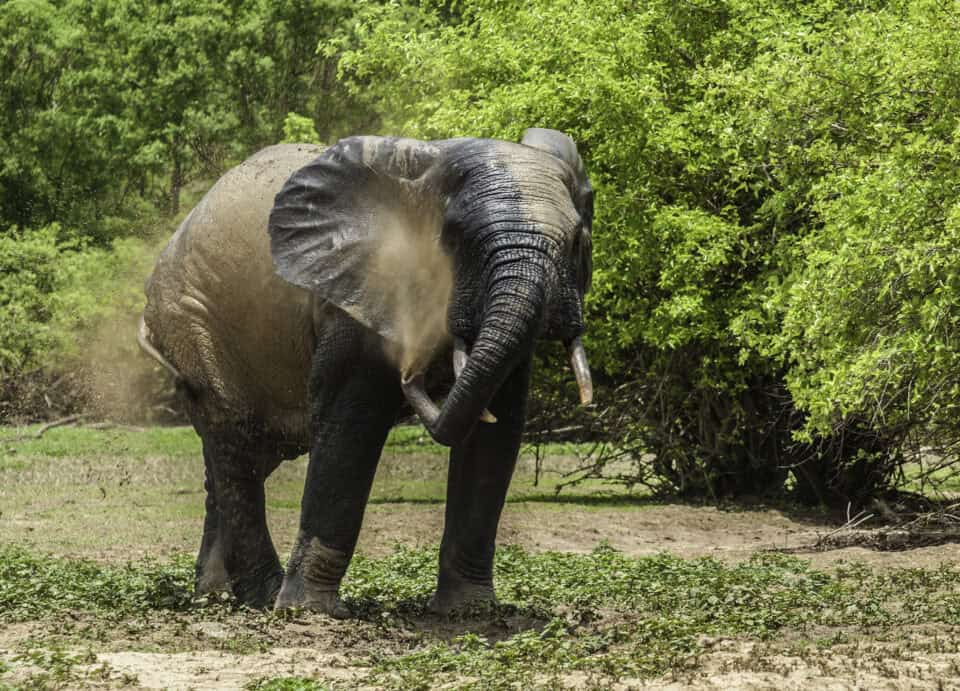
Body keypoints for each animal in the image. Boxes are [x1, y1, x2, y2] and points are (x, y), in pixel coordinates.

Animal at [138, 129, 594, 615]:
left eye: (576, 242)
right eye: (454, 238)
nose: (413, 371)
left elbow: (495, 434)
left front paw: (469, 611)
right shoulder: (355, 294)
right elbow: (350, 424)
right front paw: (310, 612)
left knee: (245, 456)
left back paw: (215, 596)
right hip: (194, 325)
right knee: (236, 444)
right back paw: (262, 598)